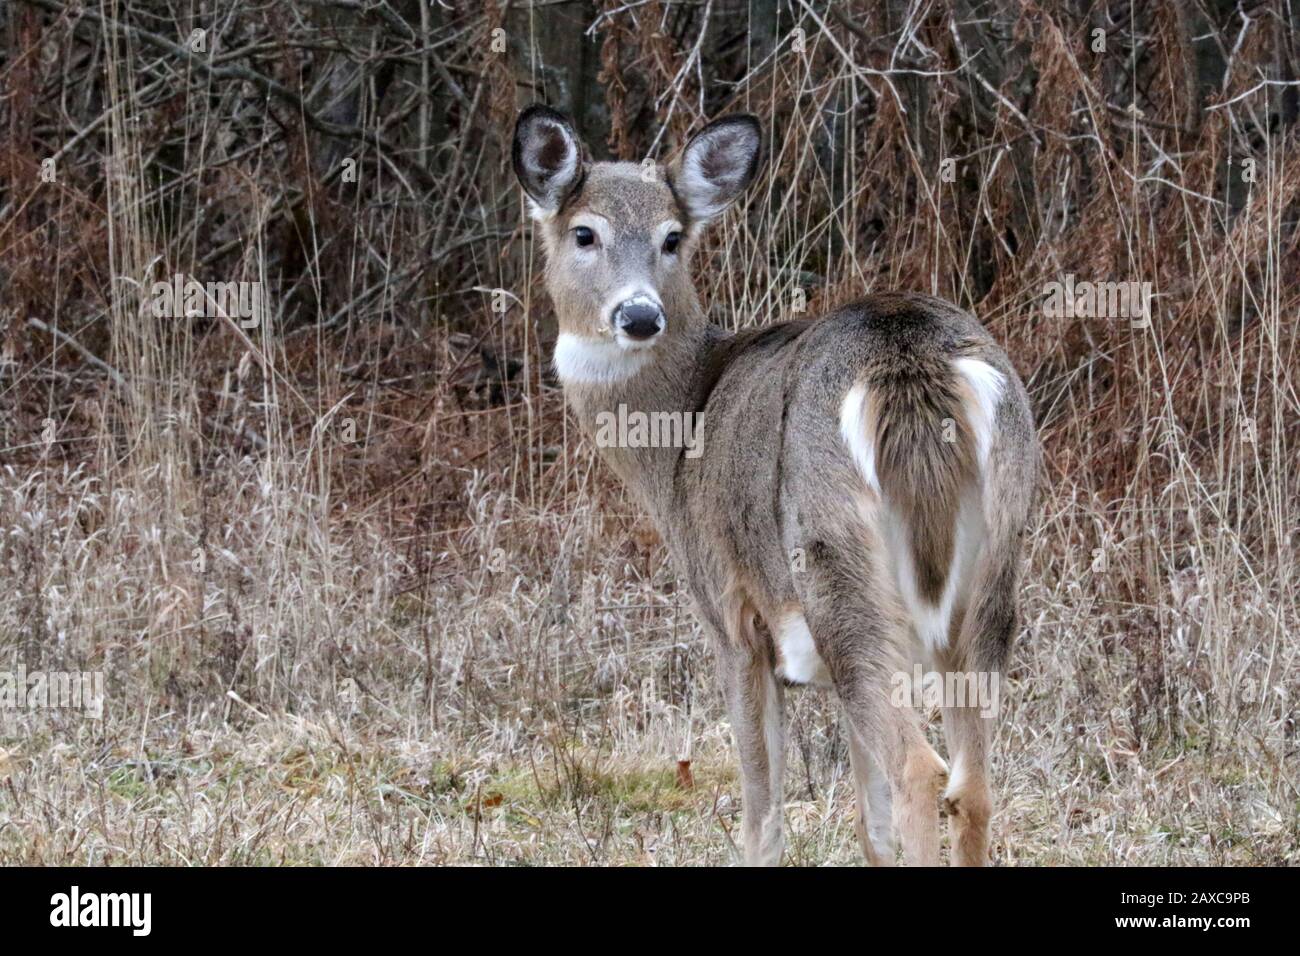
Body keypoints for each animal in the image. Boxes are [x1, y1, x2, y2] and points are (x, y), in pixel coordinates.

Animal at [512, 105, 1040, 866]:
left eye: (672, 237)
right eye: (585, 233)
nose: (639, 316)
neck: (679, 434)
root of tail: (907, 358)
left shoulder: (732, 613)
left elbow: (763, 815)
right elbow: (870, 825)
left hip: (833, 566)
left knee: (920, 769)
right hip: (994, 572)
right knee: (971, 784)